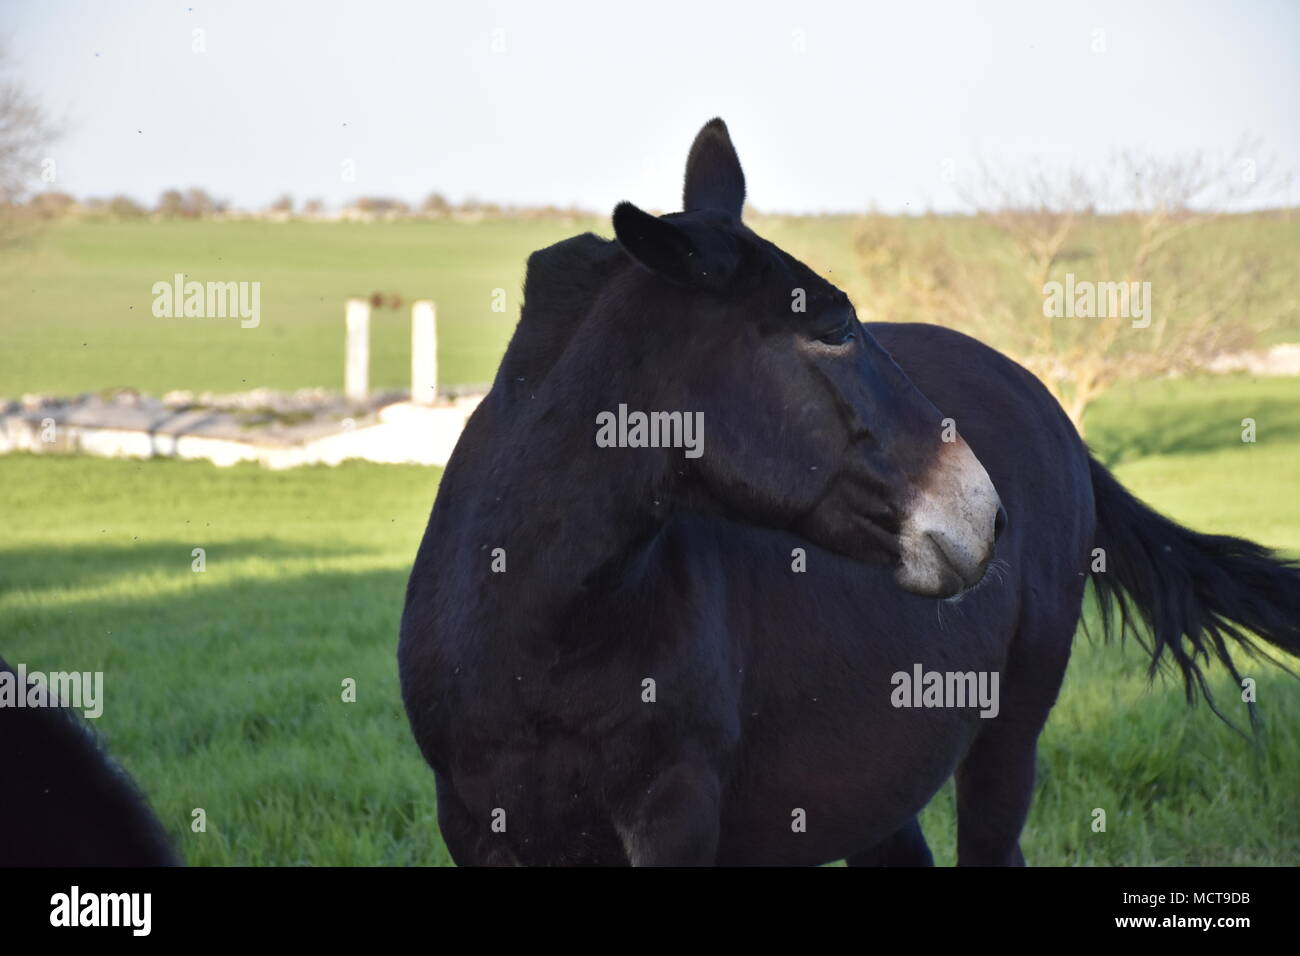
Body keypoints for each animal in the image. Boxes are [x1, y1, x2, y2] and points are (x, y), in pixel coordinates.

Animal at [398, 118, 1300, 866]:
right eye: (833, 329)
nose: (987, 515)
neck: (541, 634)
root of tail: (1042, 399)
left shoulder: (674, 813)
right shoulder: (474, 825)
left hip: (1010, 732)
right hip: (869, 785)